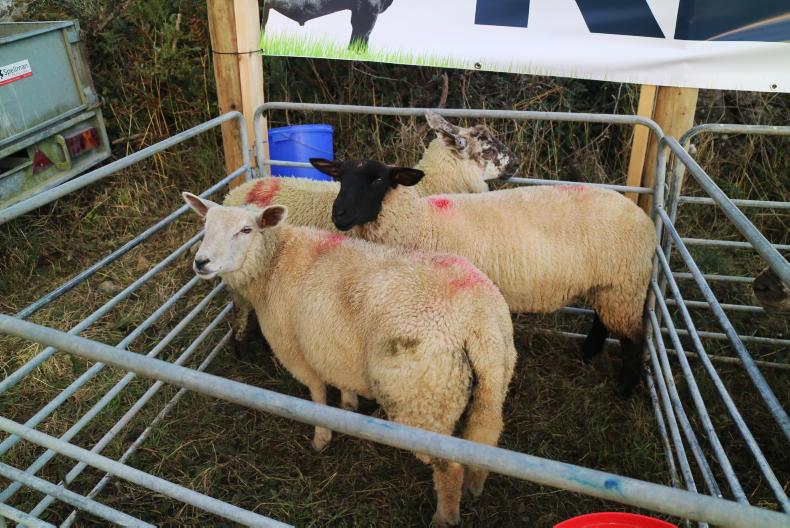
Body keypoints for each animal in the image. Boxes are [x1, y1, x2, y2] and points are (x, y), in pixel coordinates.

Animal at [182, 192, 517, 526]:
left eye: (246, 230)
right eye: (205, 226)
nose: (201, 262)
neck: (274, 262)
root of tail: (476, 318)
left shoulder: (296, 350)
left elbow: (317, 396)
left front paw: (321, 437)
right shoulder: (332, 347)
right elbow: (341, 383)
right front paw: (348, 407)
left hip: (422, 400)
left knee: (449, 468)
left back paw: (444, 516)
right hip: (494, 377)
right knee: (484, 435)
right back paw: (475, 484)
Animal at [312, 158, 657, 396]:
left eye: (379, 180)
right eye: (340, 177)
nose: (339, 214)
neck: (422, 223)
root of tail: (647, 222)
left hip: (625, 283)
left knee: (633, 338)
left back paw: (624, 391)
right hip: (612, 284)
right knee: (603, 322)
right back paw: (586, 355)